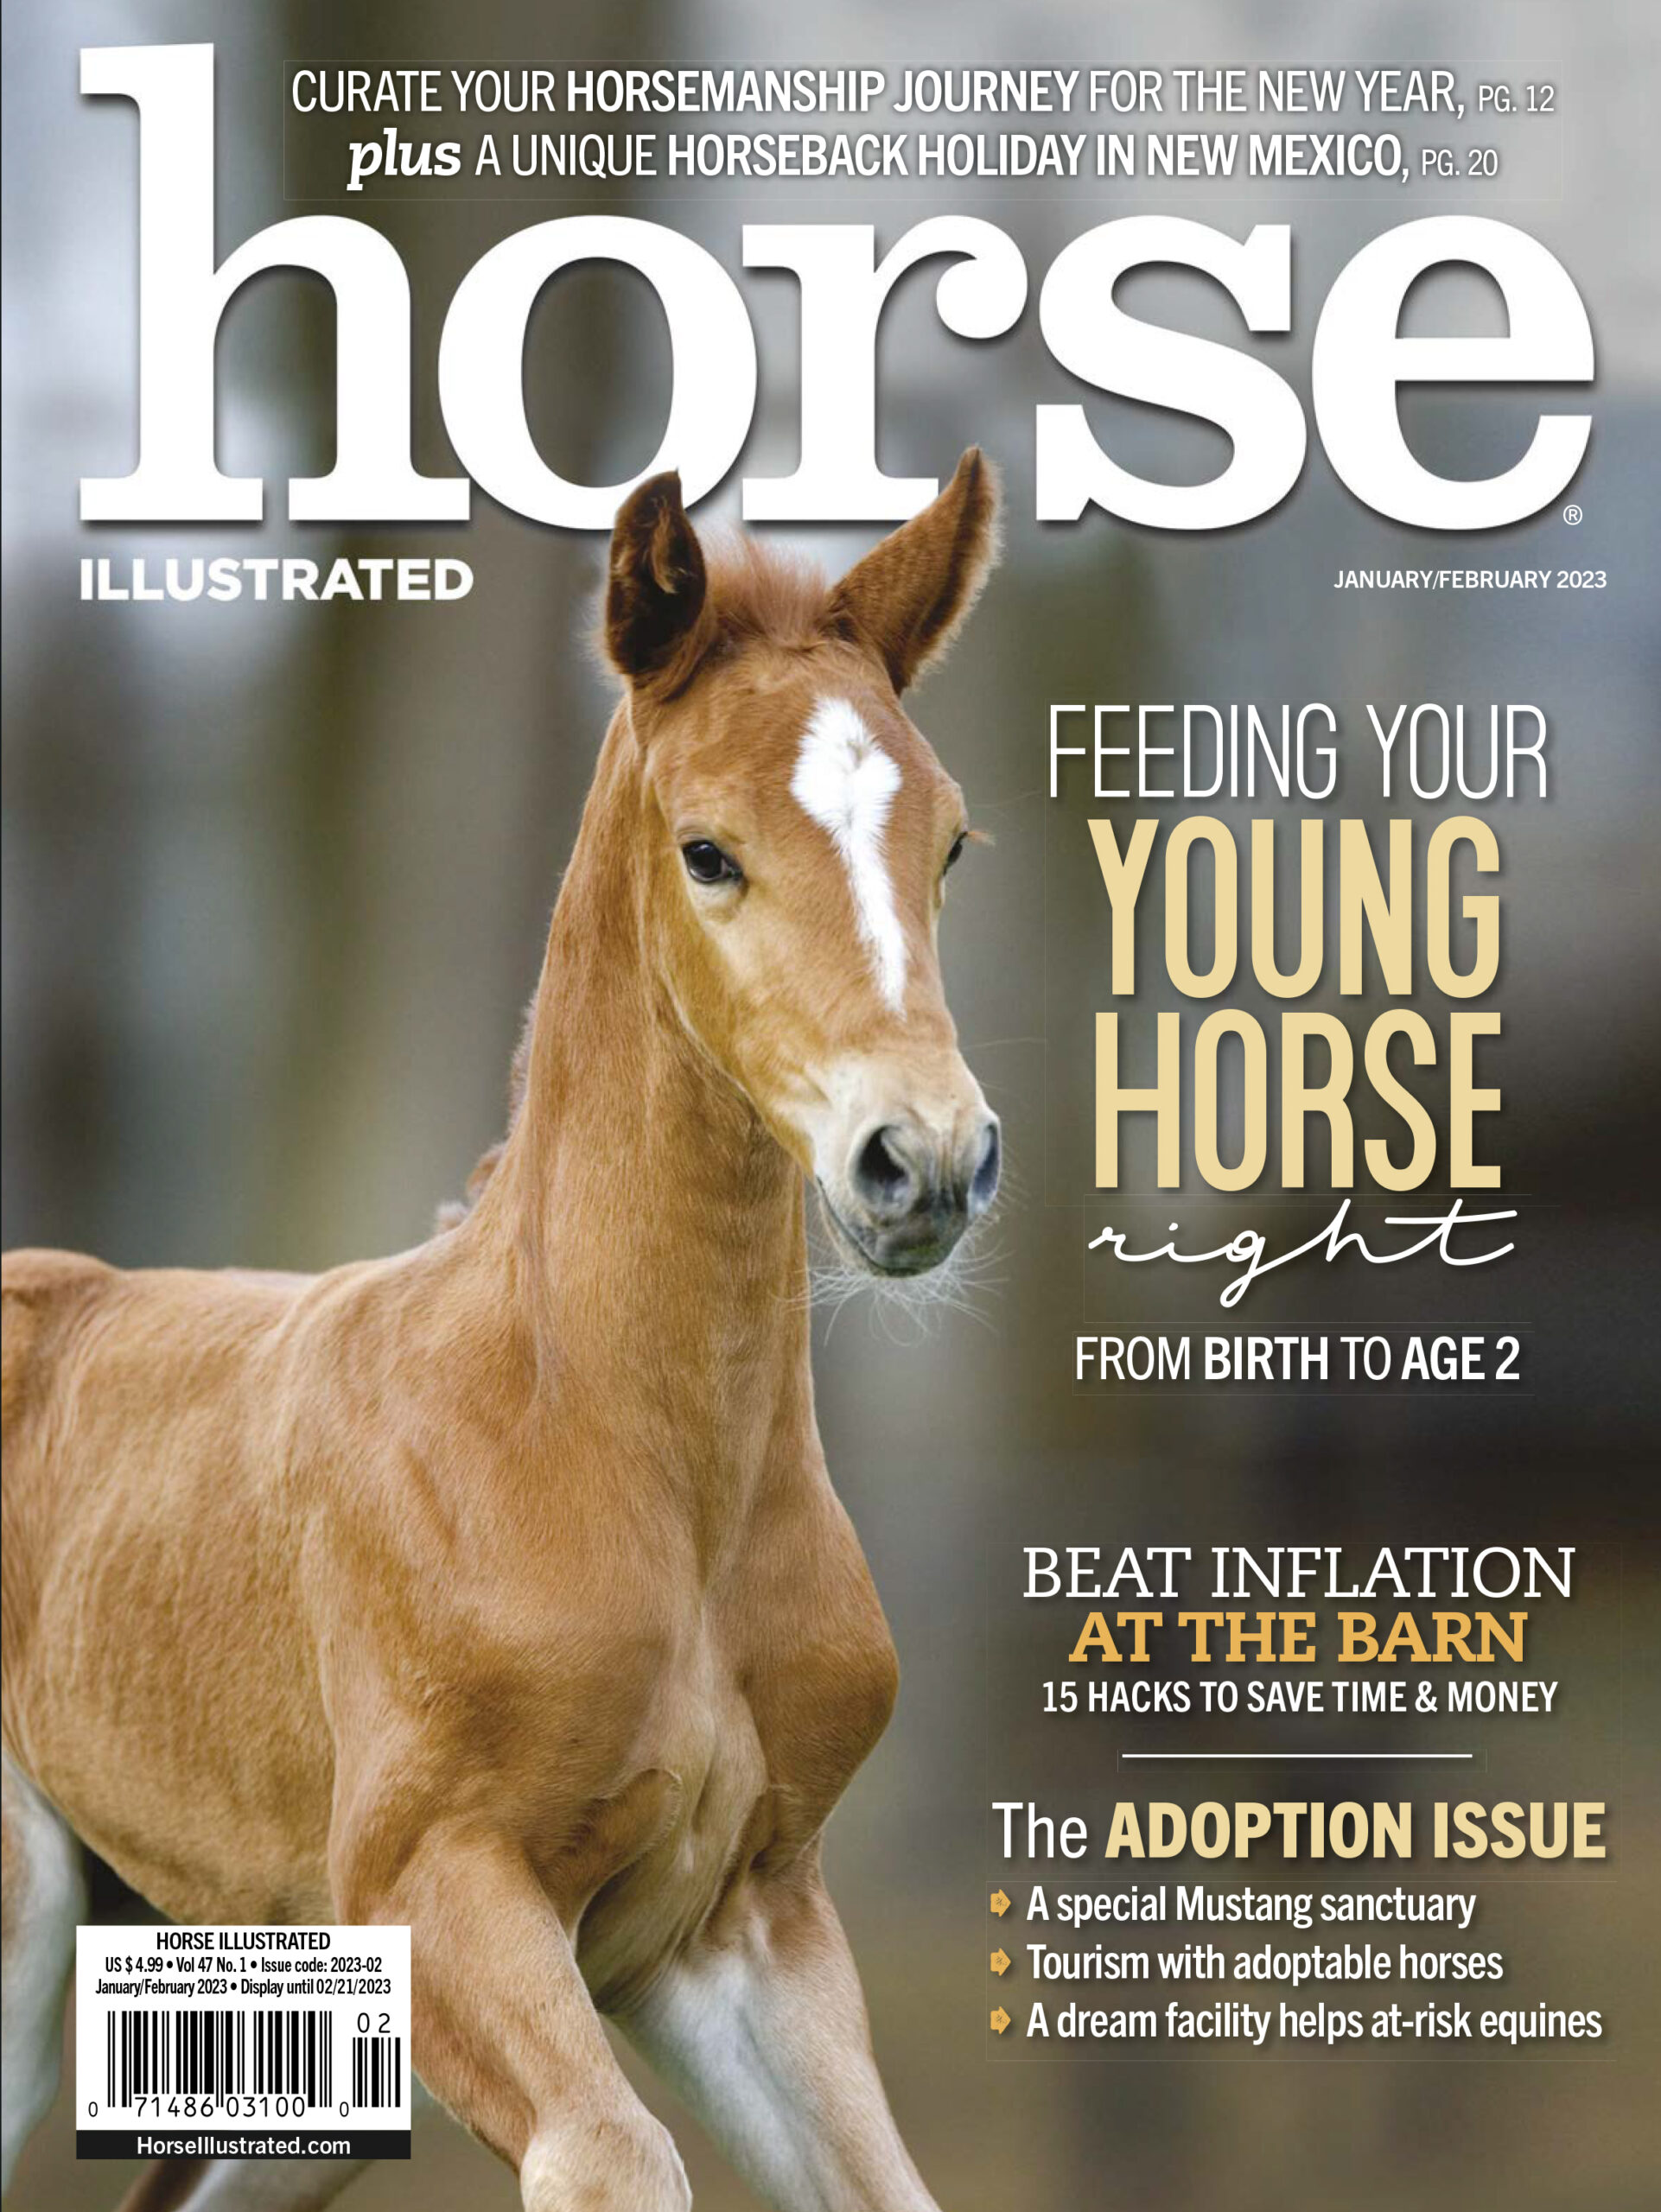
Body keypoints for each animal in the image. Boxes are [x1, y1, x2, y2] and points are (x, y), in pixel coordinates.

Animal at [0, 450, 1001, 2212]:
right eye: (706, 850)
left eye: (947, 845)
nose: (925, 1159)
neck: (600, 1441)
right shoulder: (429, 1880)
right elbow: (614, 2159)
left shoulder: (746, 1923)